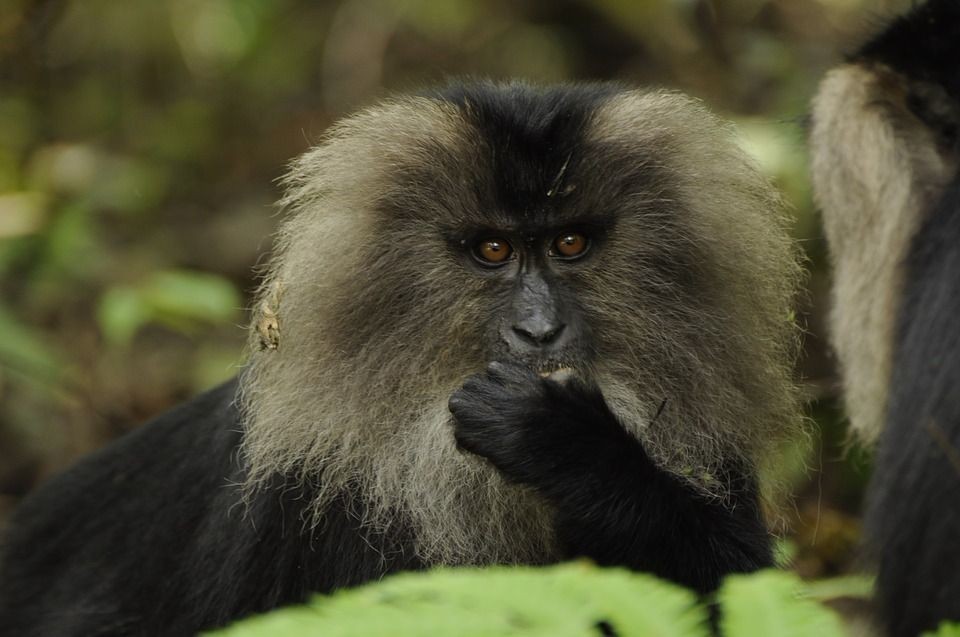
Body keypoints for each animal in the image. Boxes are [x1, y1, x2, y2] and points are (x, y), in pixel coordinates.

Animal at [0, 81, 804, 636]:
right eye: (493, 249)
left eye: (570, 243)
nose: (539, 331)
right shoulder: (296, 496)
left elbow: (743, 589)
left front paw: (564, 443)